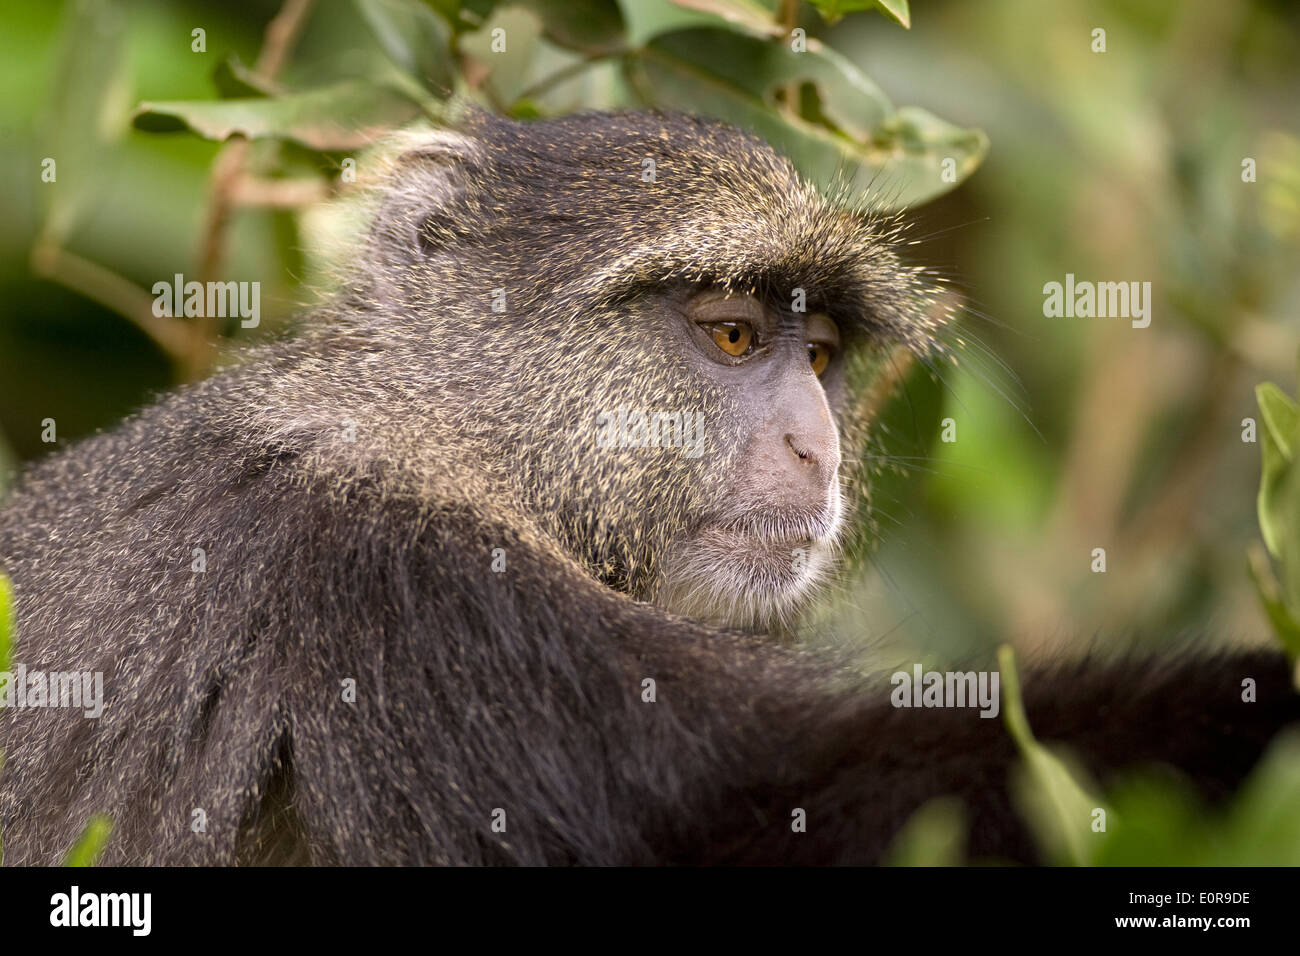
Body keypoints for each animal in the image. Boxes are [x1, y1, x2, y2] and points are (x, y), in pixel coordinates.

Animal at [0, 110, 1295, 865]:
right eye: (730, 335)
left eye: (821, 353)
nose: (817, 449)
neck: (438, 436)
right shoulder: (403, 587)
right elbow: (781, 804)